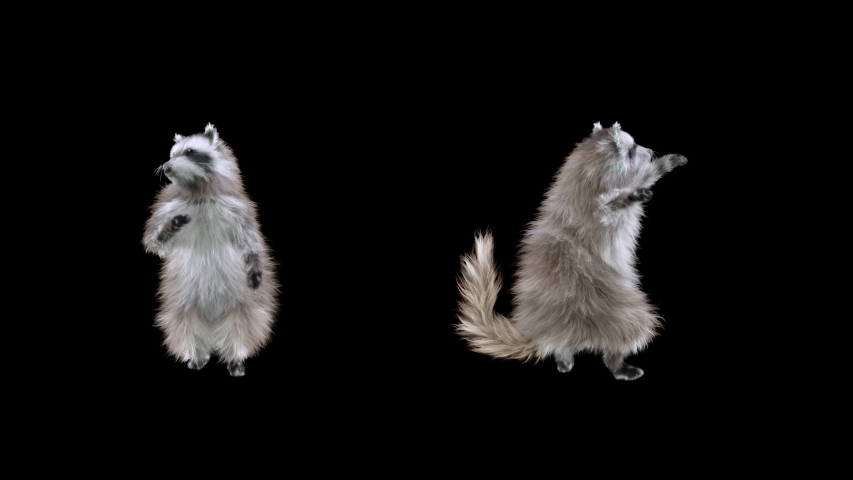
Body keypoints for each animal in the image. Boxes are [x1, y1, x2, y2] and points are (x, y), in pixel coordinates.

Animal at [143, 124, 278, 376]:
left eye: (190, 152)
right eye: (171, 154)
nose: (166, 167)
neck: (199, 193)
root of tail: (212, 321)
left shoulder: (239, 209)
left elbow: (250, 242)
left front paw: (255, 263)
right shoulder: (167, 207)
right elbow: (154, 242)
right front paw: (168, 229)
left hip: (242, 299)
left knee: (241, 325)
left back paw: (235, 356)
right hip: (180, 296)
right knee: (185, 324)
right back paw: (196, 354)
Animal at [456, 122, 687, 380]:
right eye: (633, 149)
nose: (650, 150)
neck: (585, 172)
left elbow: (640, 179)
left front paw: (666, 162)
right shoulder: (598, 207)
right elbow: (621, 196)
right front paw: (642, 184)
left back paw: (564, 358)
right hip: (619, 311)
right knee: (623, 337)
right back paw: (618, 365)